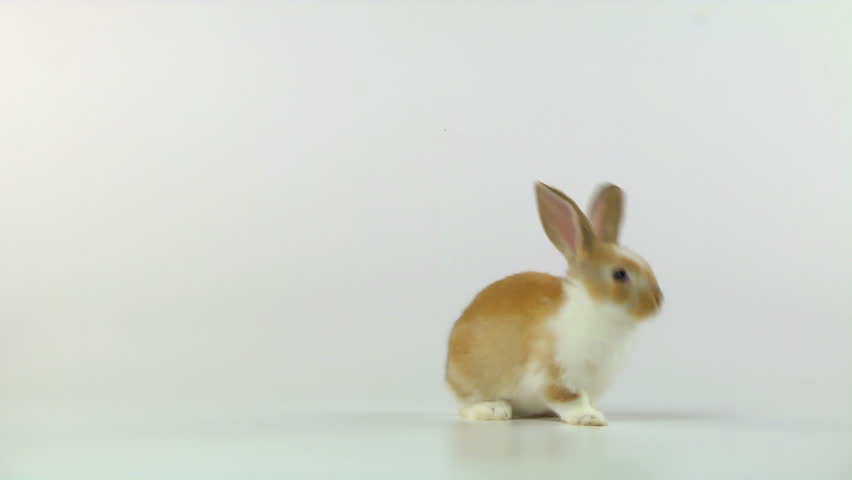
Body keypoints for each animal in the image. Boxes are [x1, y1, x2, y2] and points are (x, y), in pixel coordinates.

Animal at [445, 181, 663, 426]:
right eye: (619, 274)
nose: (658, 301)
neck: (594, 307)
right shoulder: (555, 373)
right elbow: (569, 398)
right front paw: (590, 417)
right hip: (473, 383)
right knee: (466, 406)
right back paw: (494, 410)